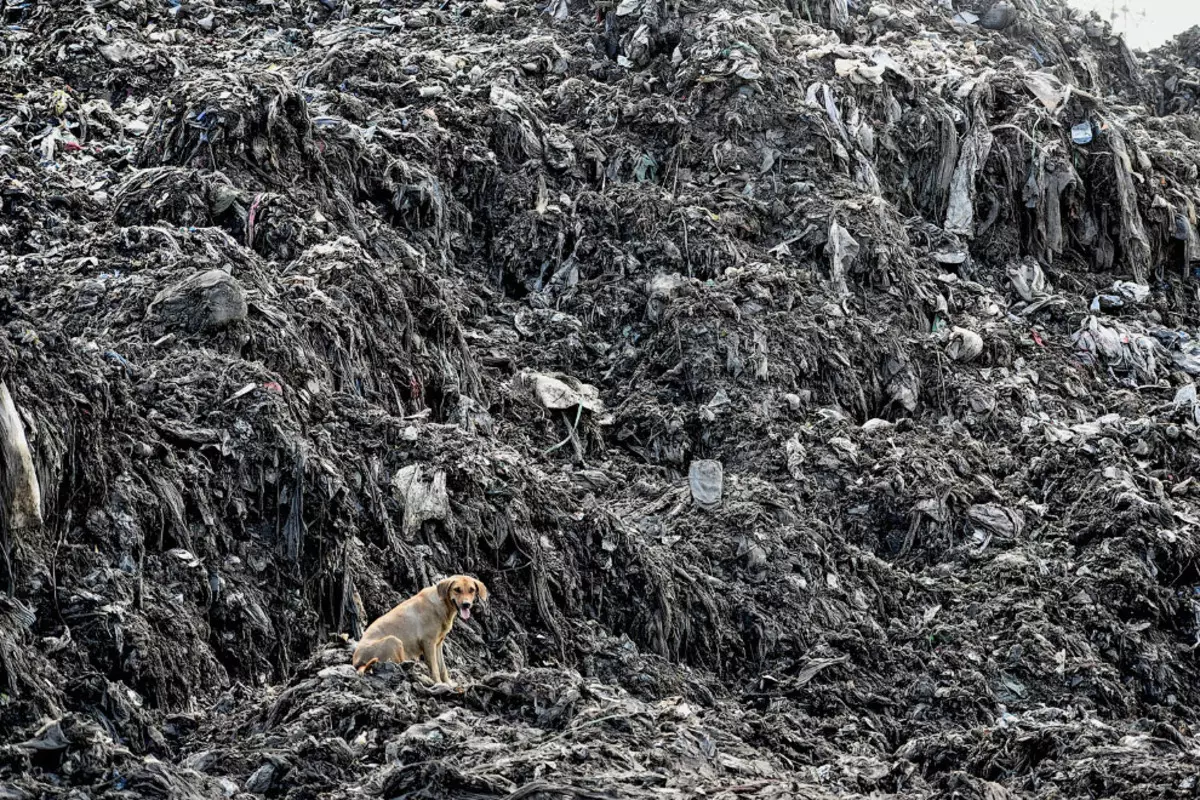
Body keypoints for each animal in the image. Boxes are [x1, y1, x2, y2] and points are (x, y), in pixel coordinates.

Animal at [350, 573, 487, 686]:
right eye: (457, 589)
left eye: (472, 590)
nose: (466, 604)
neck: (442, 604)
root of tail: (356, 661)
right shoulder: (428, 643)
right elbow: (435, 668)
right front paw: (439, 683)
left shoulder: (438, 644)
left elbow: (442, 667)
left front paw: (448, 683)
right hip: (394, 641)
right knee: (398, 663)